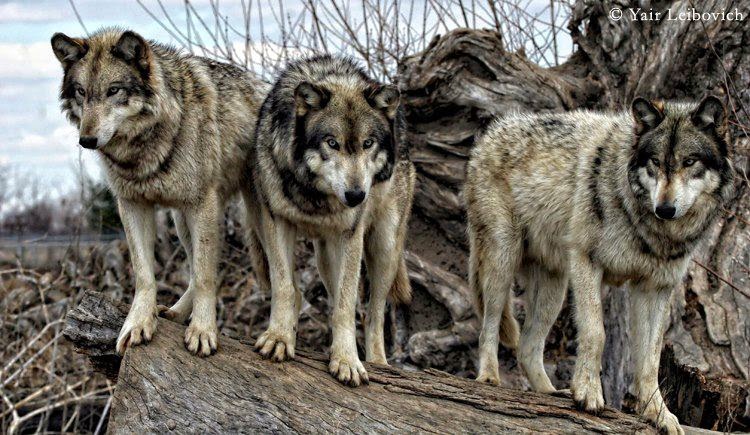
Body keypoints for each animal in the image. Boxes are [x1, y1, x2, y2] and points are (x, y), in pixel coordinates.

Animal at [51, 28, 267, 357]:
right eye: (80, 92)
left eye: (114, 90)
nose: (86, 140)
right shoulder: (132, 205)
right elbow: (144, 274)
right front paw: (139, 323)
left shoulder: (201, 205)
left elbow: (205, 276)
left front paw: (202, 331)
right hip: (182, 222)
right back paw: (175, 313)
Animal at [244, 55, 415, 386]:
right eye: (332, 143)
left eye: (368, 143)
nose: (356, 195)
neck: (315, 195)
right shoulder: (276, 222)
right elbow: (285, 287)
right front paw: (280, 337)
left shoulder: (350, 235)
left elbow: (347, 307)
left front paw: (347, 360)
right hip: (317, 253)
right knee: (318, 296)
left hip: (383, 248)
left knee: (372, 314)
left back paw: (378, 362)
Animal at [466, 96, 734, 434]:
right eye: (655, 161)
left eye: (689, 162)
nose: (665, 209)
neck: (646, 225)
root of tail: (489, 135)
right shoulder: (586, 262)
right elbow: (596, 333)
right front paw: (588, 394)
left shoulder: (655, 288)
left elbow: (650, 360)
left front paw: (659, 414)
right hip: (503, 263)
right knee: (488, 325)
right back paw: (489, 377)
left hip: (554, 288)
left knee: (528, 347)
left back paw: (550, 393)